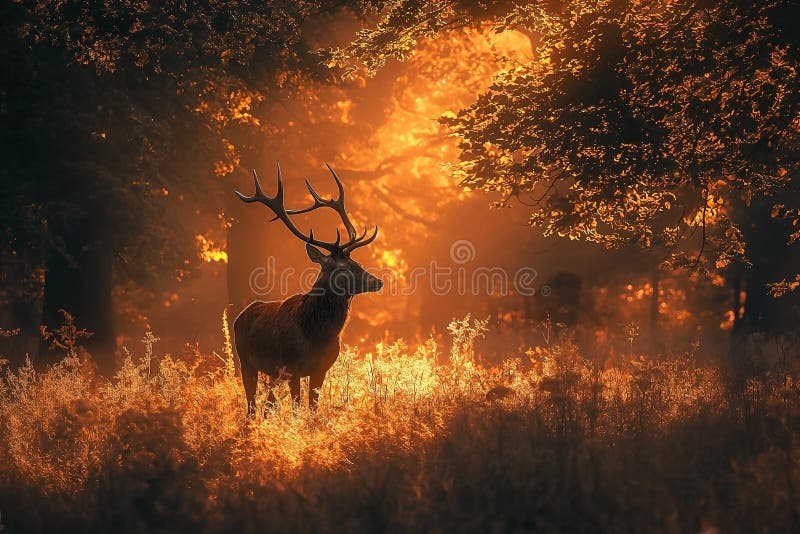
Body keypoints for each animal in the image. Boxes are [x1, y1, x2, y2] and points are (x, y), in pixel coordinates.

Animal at [233, 164, 383, 415]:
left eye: (357, 263)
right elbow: (296, 408)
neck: (315, 333)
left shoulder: (321, 369)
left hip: (271, 374)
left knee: (268, 404)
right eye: (342, 268)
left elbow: (313, 408)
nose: (378, 281)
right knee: (252, 404)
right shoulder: (291, 368)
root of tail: (240, 315)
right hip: (246, 362)